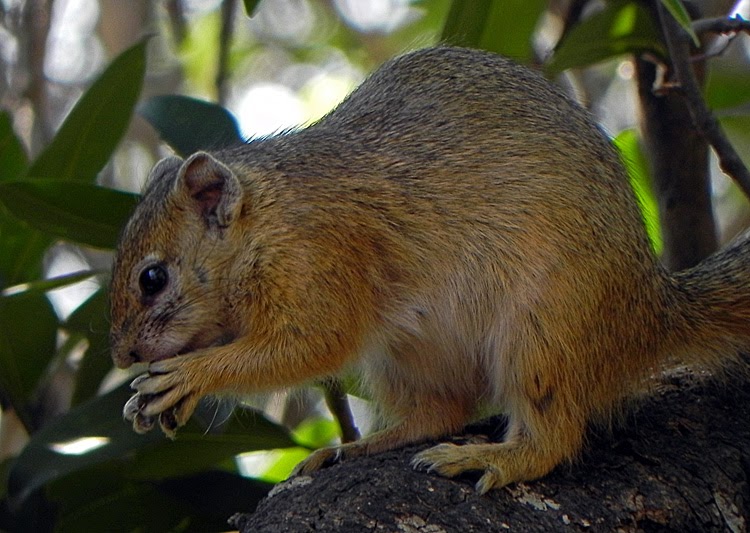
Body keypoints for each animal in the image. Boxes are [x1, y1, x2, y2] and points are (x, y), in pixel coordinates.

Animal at [109, 46, 750, 493]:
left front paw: (190, 377)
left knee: (553, 435)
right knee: (440, 411)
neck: (264, 221)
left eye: (152, 279)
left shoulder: (321, 259)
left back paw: (493, 456)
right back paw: (357, 447)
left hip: (545, 329)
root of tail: (648, 311)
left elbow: (312, 345)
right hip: (411, 355)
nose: (122, 356)